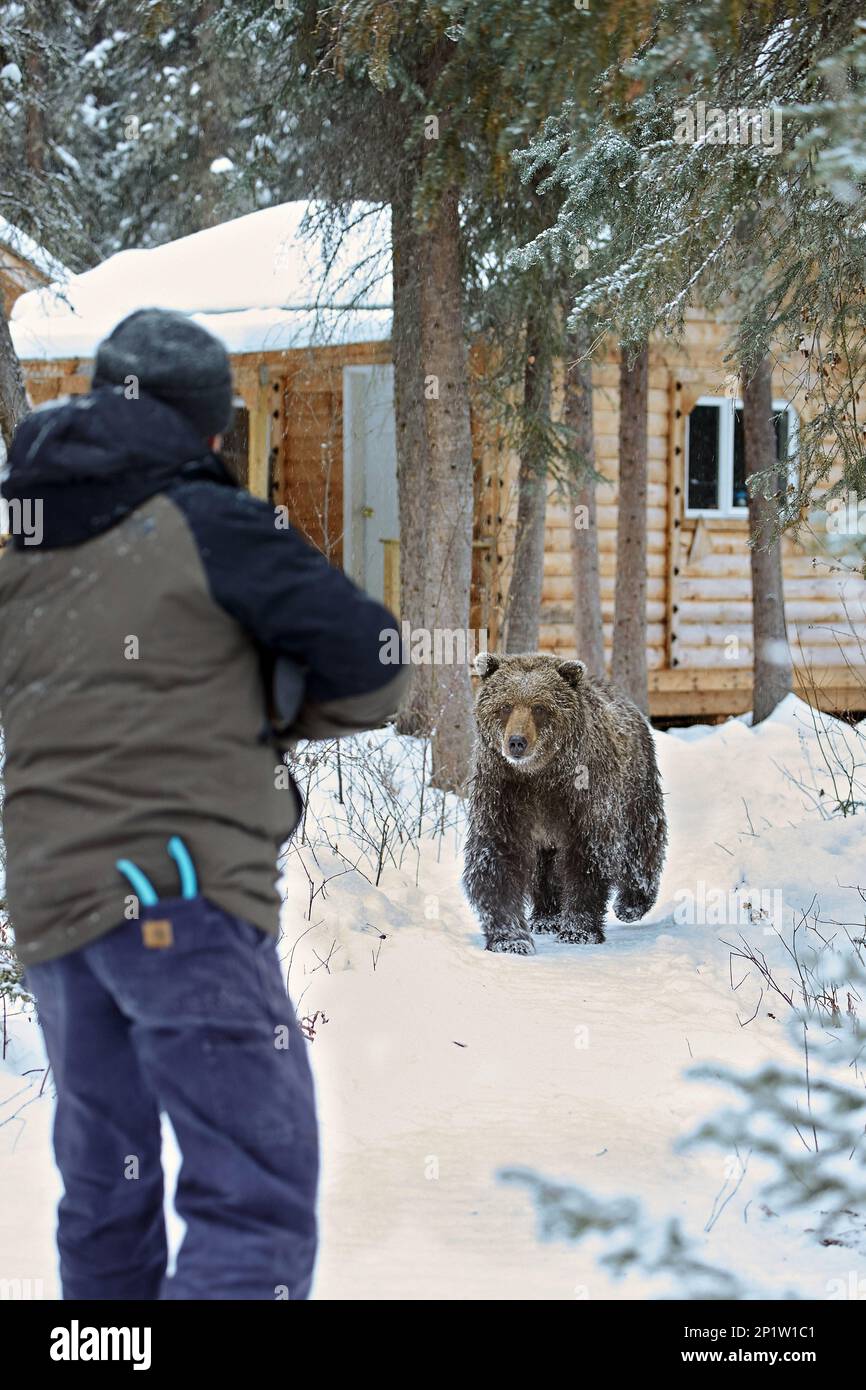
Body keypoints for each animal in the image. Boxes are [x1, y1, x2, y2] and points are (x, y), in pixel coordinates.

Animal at [462, 651, 667, 954]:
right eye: (505, 706)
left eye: (539, 707)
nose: (516, 742)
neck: (539, 775)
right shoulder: (503, 792)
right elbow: (496, 856)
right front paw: (510, 939)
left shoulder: (582, 796)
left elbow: (586, 857)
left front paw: (578, 930)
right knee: (543, 867)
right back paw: (545, 918)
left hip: (636, 783)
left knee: (641, 839)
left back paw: (632, 904)